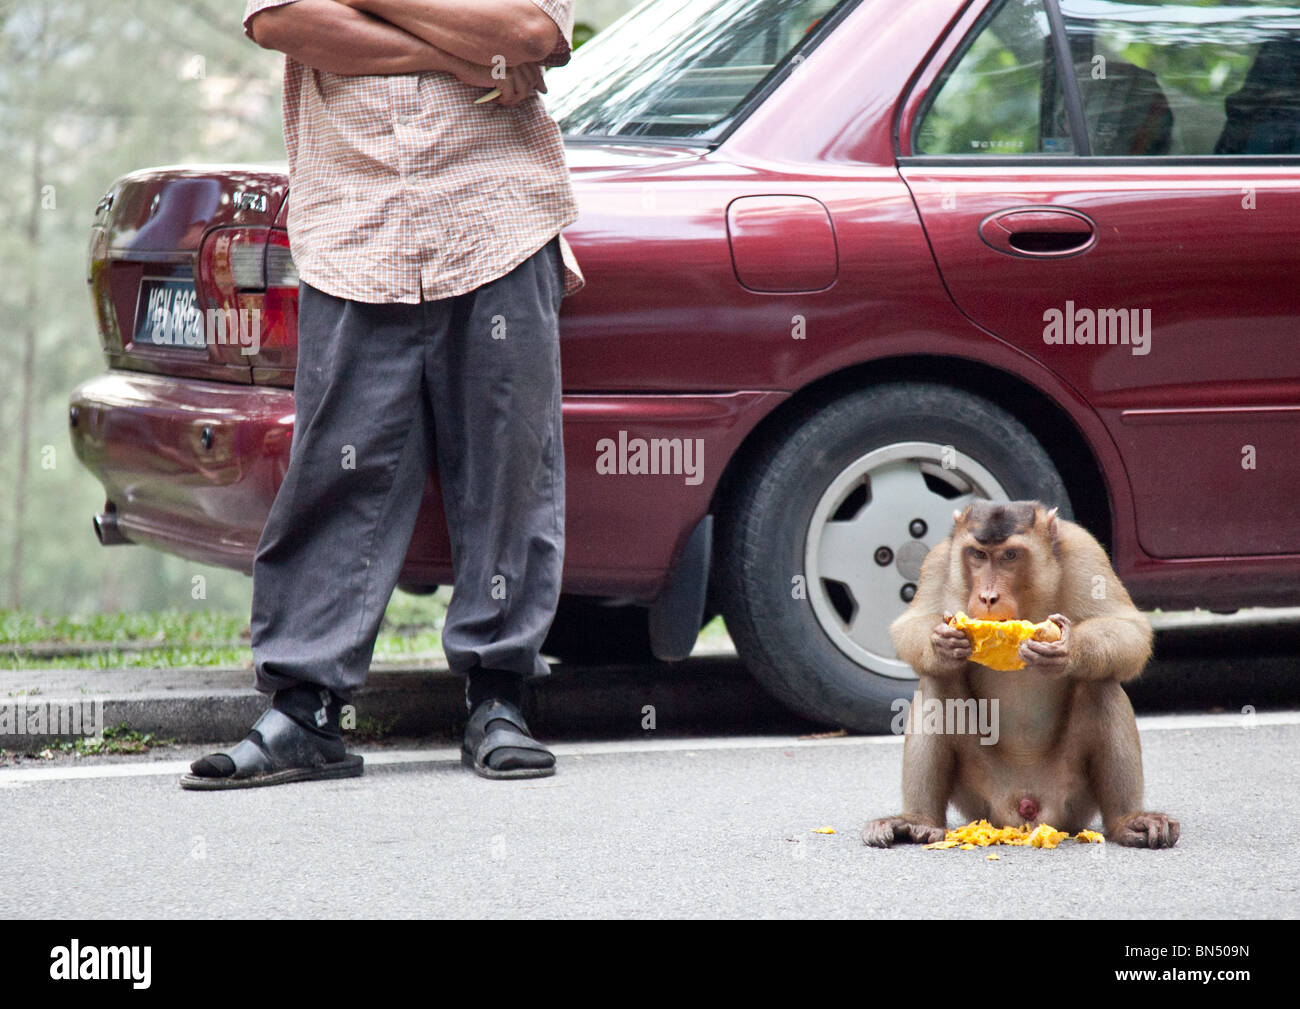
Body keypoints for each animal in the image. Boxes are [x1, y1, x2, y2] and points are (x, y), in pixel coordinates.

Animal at [861, 500, 1179, 849]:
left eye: (1010, 556)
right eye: (978, 554)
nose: (988, 597)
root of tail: (1026, 811)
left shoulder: (1085, 551)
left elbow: (1129, 629)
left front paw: (1067, 650)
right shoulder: (938, 561)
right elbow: (910, 626)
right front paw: (942, 643)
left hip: (1071, 795)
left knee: (1100, 683)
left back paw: (1128, 821)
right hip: (981, 793)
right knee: (938, 682)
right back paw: (918, 821)